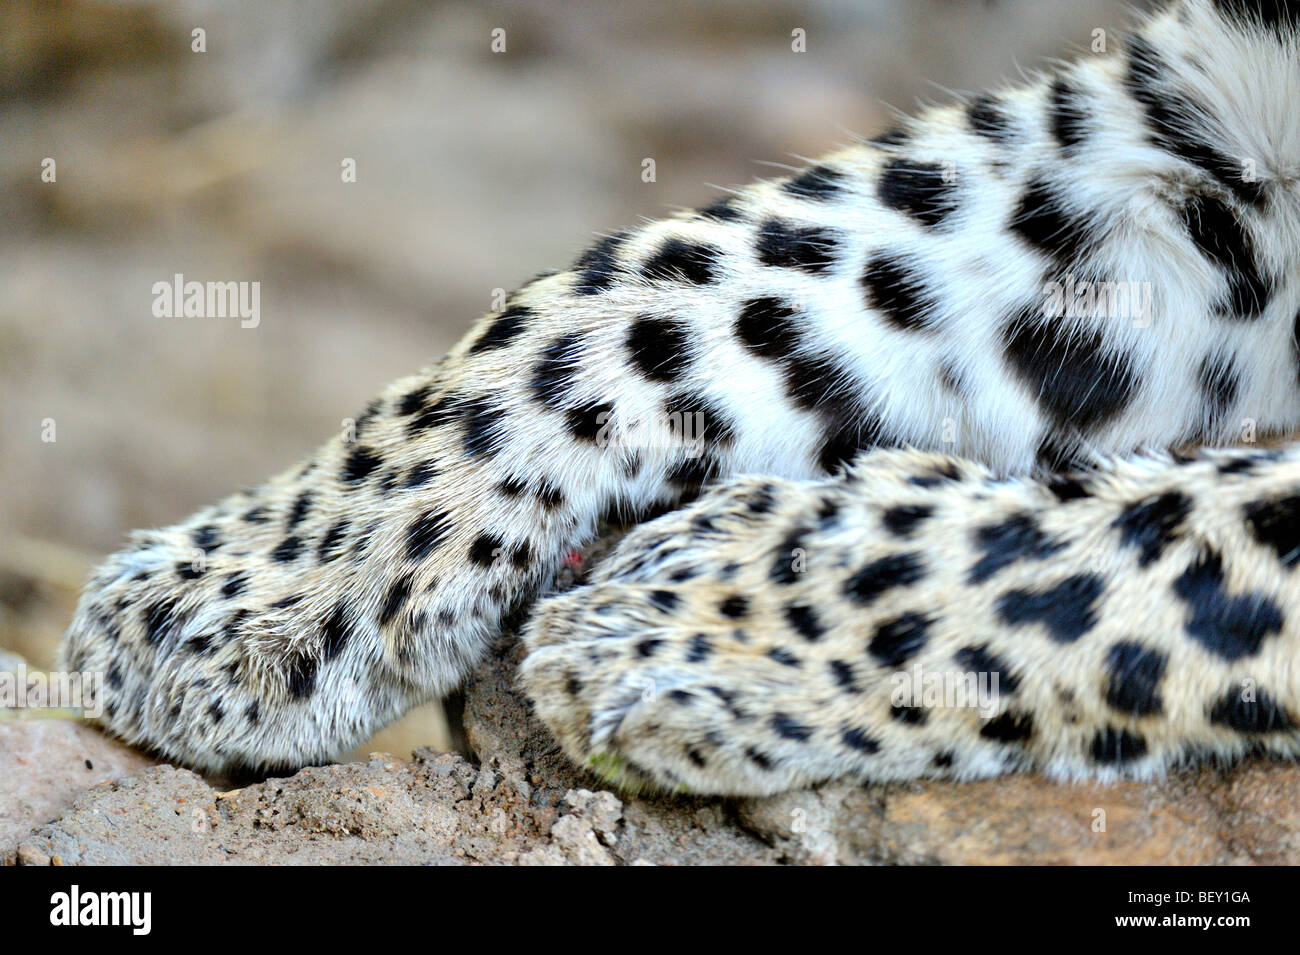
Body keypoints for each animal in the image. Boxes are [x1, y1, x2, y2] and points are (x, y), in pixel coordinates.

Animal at [60, 0, 1300, 798]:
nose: (657, 619)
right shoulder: (1180, 142)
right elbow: (669, 278)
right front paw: (256, 587)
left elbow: (1177, 537)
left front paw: (697, 627)